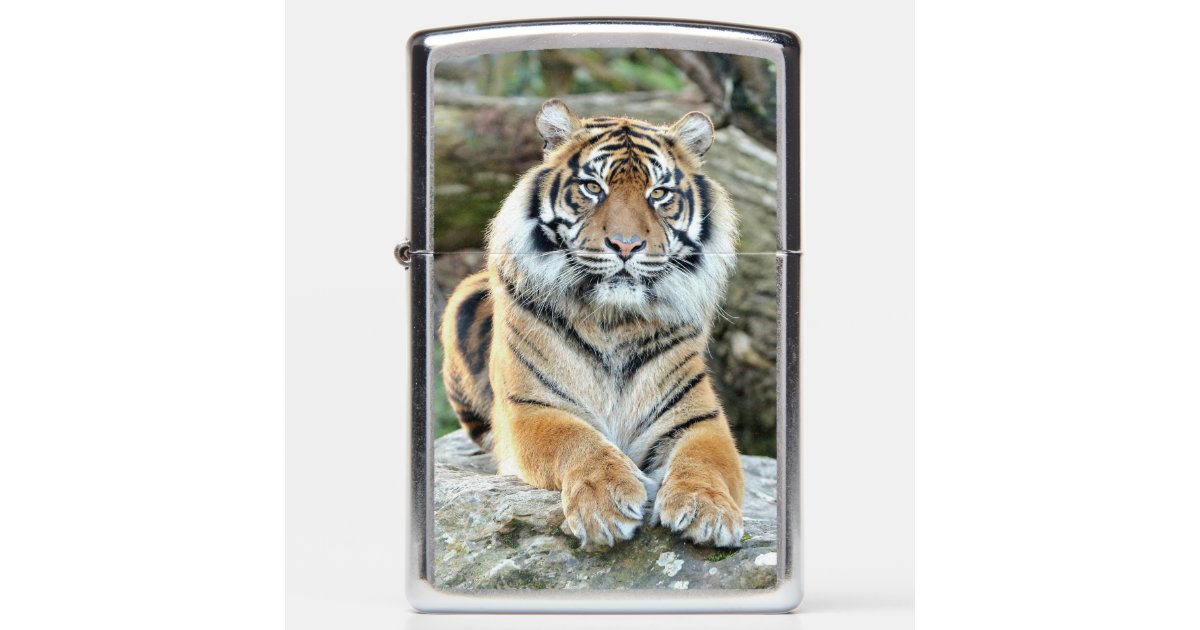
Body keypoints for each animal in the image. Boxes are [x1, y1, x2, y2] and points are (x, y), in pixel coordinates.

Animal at [439, 99, 744, 549]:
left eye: (659, 194)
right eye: (592, 188)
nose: (626, 245)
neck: (613, 319)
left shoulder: (697, 417)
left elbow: (706, 461)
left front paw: (708, 510)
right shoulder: (532, 406)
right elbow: (577, 440)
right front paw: (606, 501)